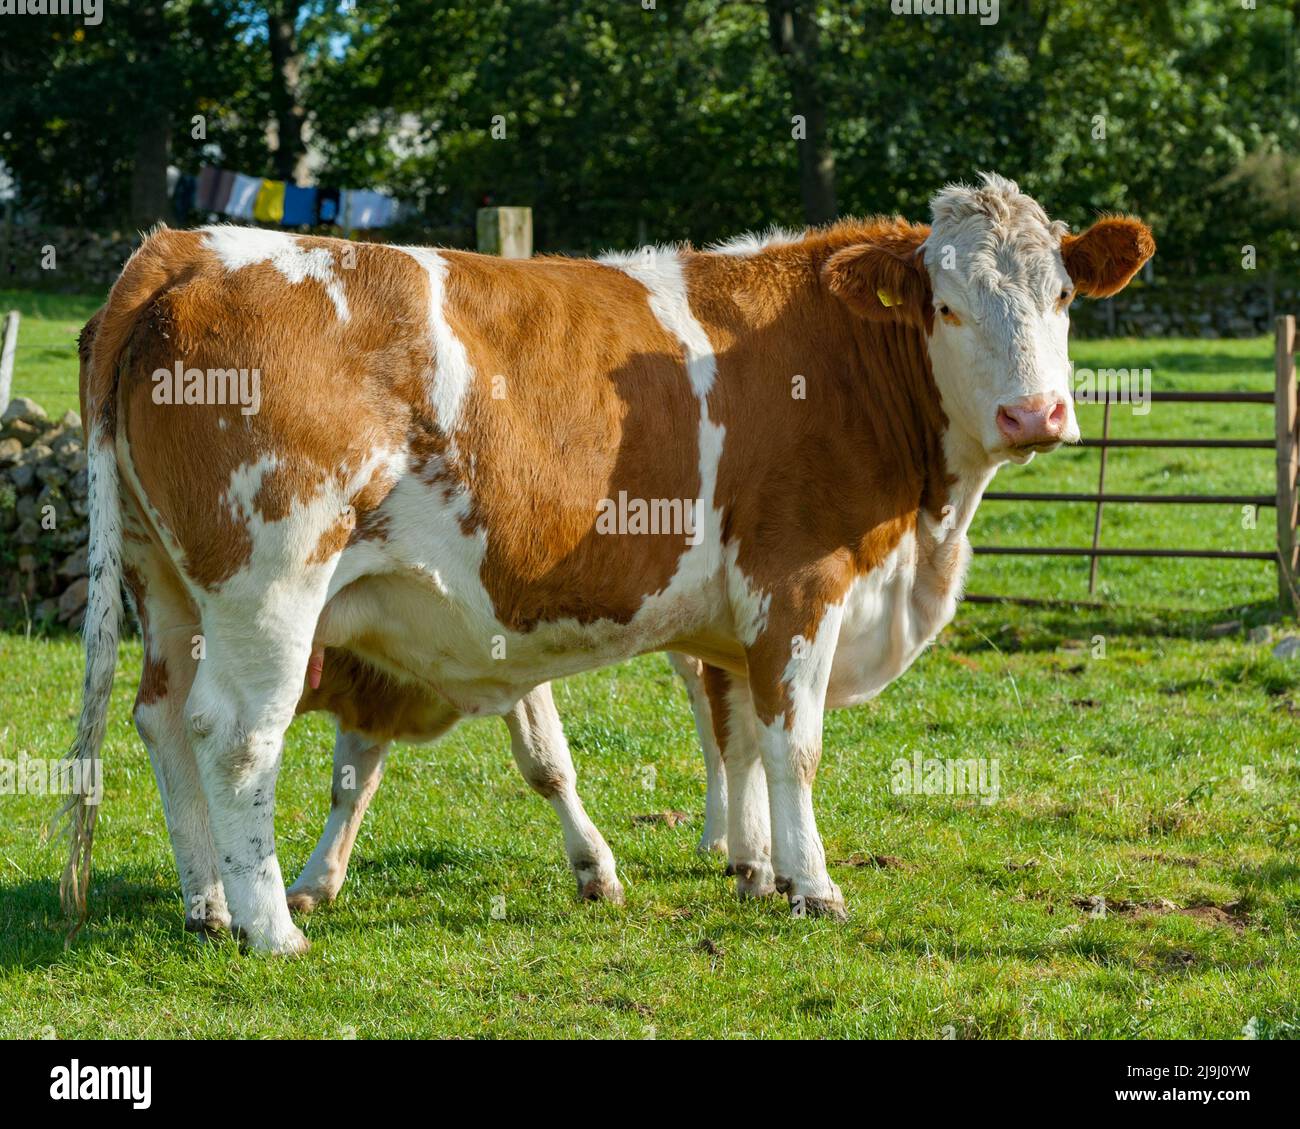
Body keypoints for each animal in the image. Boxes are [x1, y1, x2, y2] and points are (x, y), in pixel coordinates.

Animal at [59, 173, 1152, 954]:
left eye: (1062, 295)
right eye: (947, 307)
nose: (1036, 414)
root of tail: (185, 247)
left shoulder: (732, 614)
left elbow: (736, 737)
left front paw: (752, 866)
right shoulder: (795, 583)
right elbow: (792, 743)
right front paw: (813, 886)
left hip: (166, 585)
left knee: (161, 717)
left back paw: (207, 903)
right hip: (270, 585)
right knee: (238, 735)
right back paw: (270, 926)